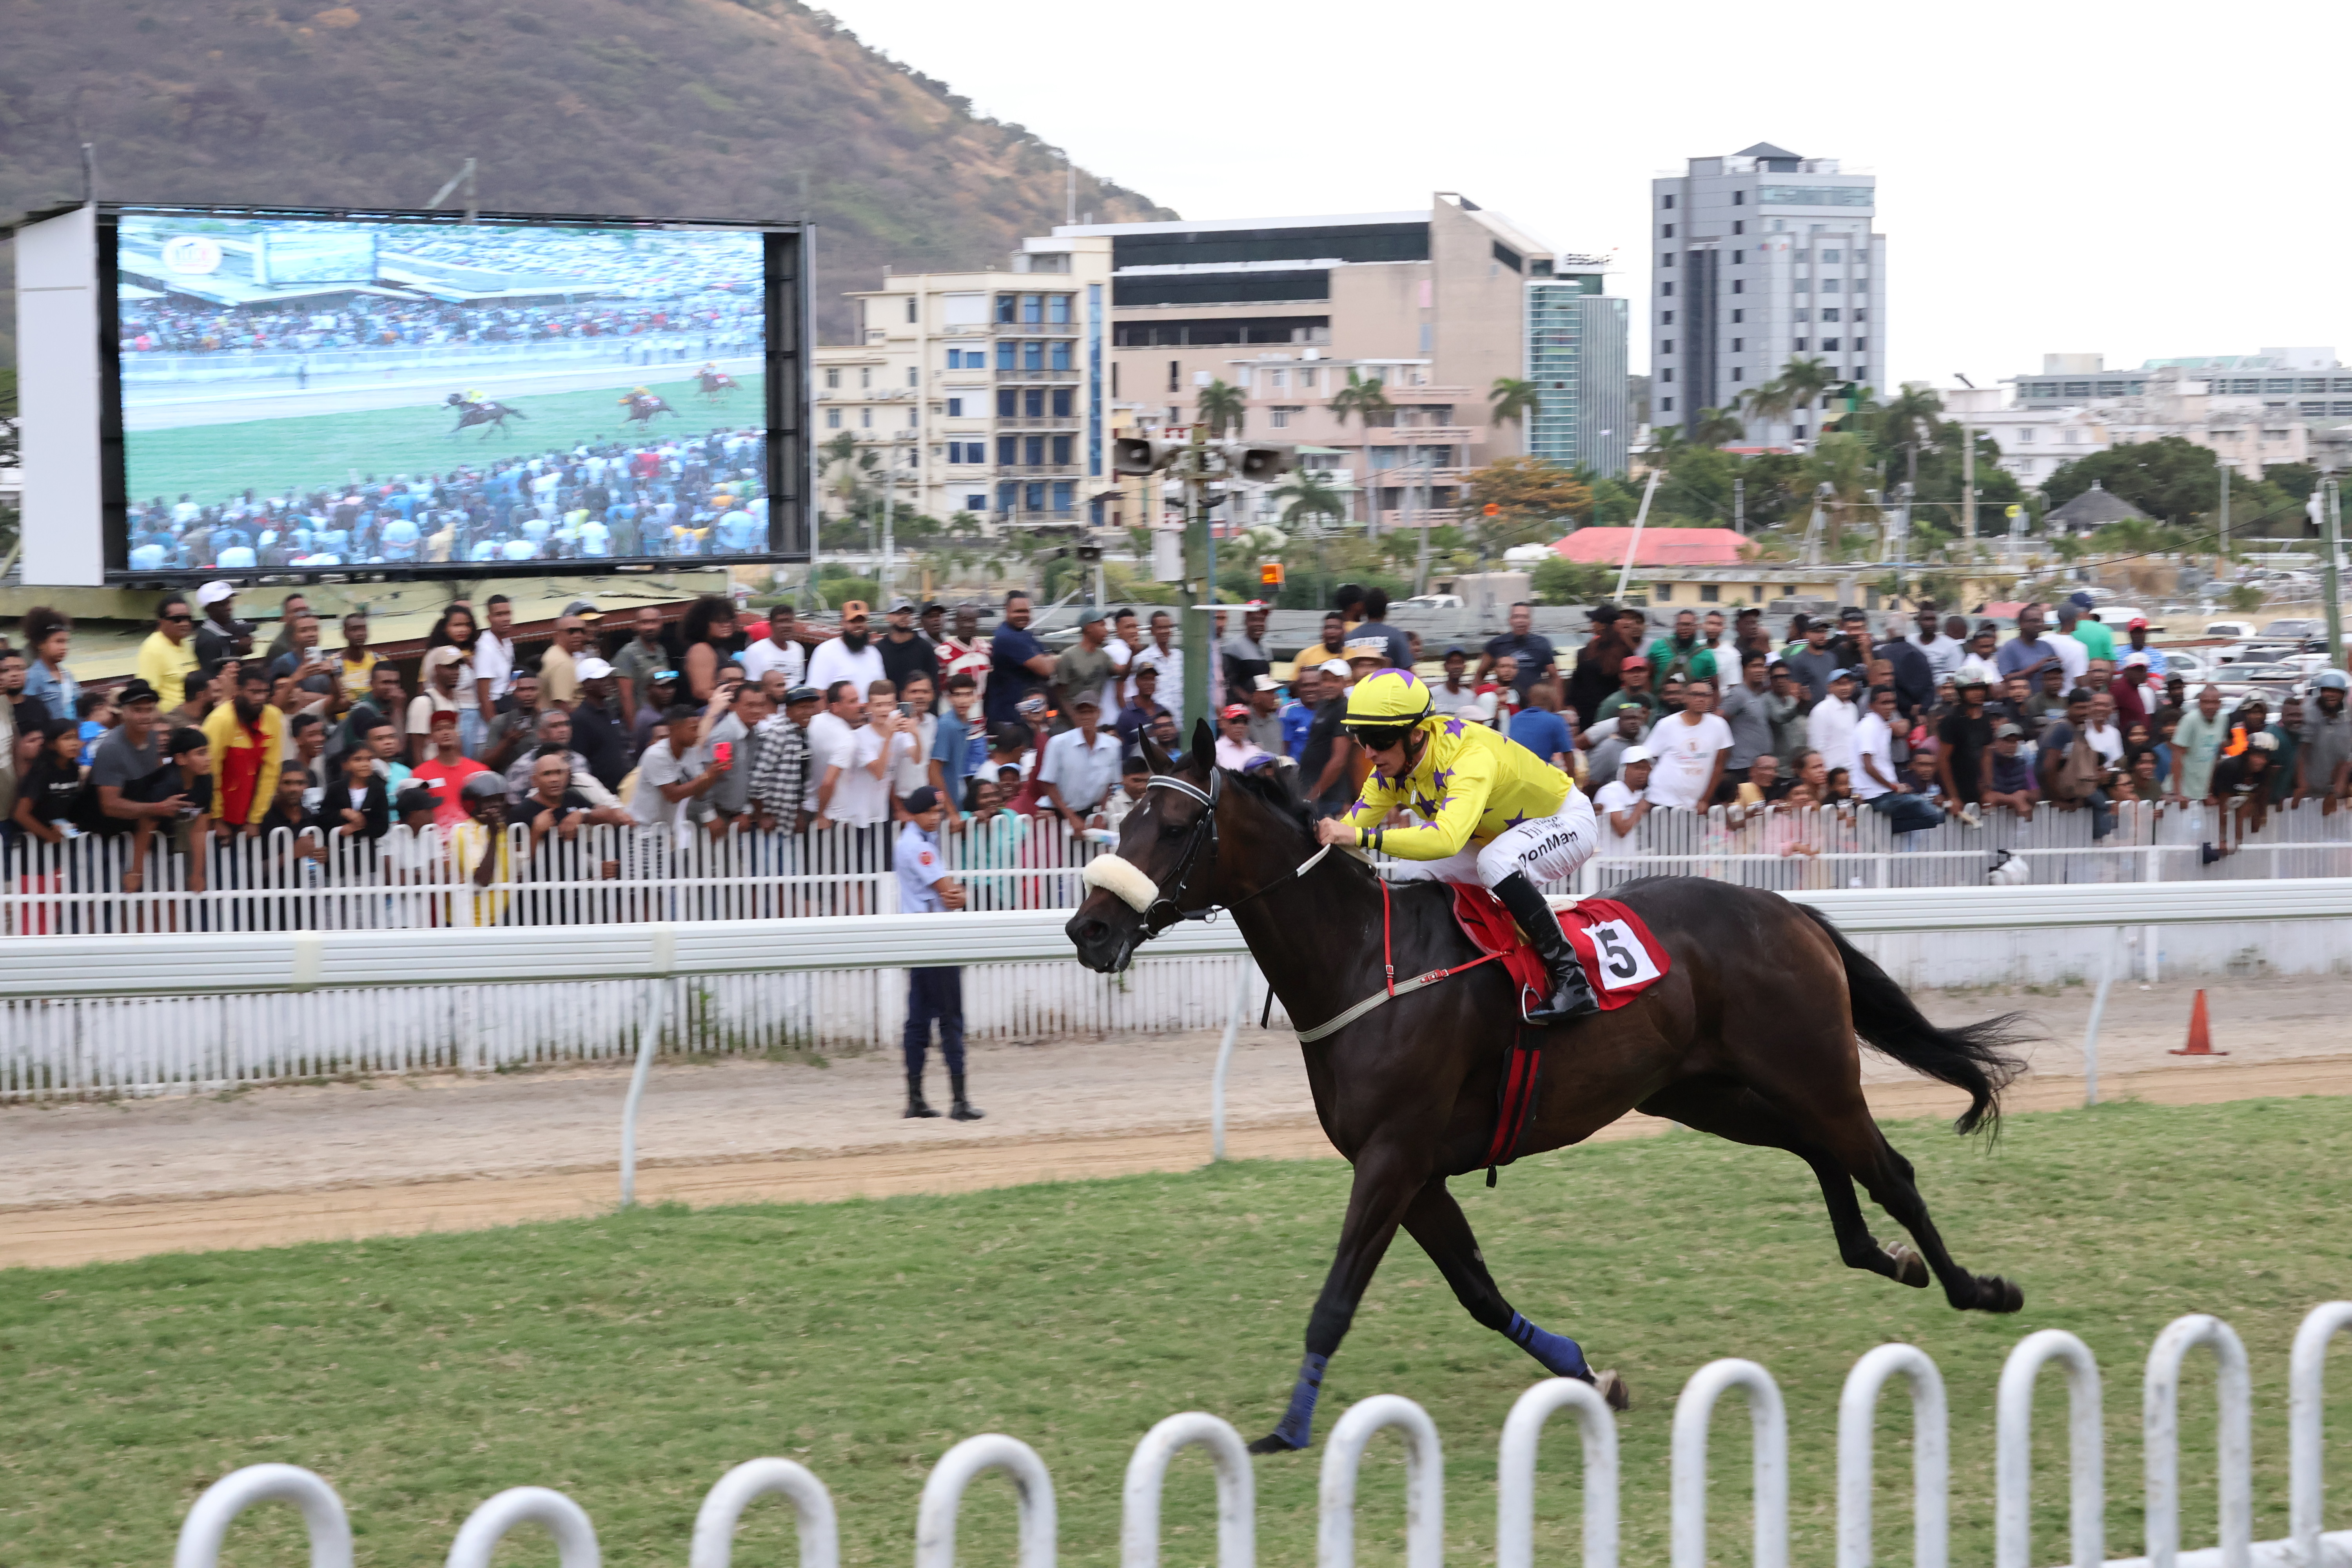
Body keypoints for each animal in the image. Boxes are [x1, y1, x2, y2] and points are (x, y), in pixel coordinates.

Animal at [444, 393, 527, 440]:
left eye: (450, 399)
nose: (444, 407)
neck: (467, 407)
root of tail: (502, 406)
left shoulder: (470, 422)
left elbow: (458, 427)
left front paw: (450, 436)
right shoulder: (465, 421)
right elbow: (458, 426)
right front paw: (455, 437)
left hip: (498, 418)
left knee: (493, 429)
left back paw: (483, 438)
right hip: (498, 419)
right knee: (504, 426)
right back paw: (507, 437)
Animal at [1065, 720, 2030, 1455]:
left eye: (1174, 826)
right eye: (1122, 816)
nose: (1087, 928)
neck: (1363, 961)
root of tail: (1789, 910)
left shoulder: (1393, 1157)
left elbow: (1334, 1302)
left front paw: (1287, 1431)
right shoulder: (1414, 1172)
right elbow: (1481, 1293)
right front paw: (1592, 1374)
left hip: (1811, 1068)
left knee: (1889, 1169)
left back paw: (1977, 1288)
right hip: (1709, 1091)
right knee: (1824, 1152)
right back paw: (1885, 1257)